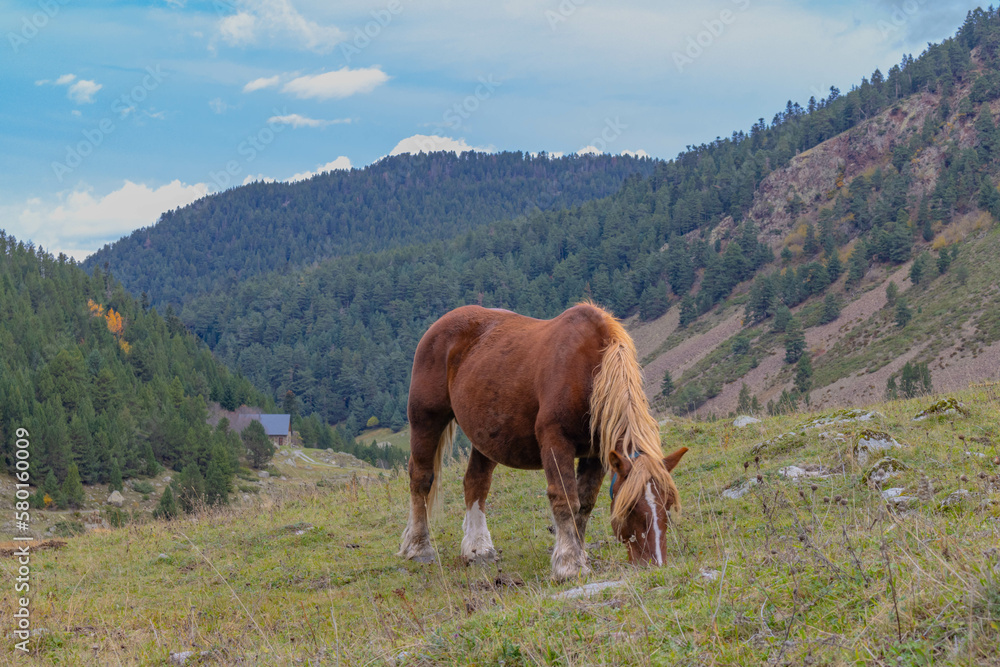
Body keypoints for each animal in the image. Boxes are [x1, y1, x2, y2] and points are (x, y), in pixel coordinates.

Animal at [398, 302, 688, 580]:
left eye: (667, 506)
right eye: (630, 508)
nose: (655, 563)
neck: (589, 371)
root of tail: (440, 324)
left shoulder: (596, 454)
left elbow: (584, 504)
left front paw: (578, 555)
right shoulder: (555, 441)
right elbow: (565, 499)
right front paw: (569, 565)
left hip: (485, 436)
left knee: (476, 482)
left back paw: (477, 549)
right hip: (426, 420)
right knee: (421, 478)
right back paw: (419, 548)